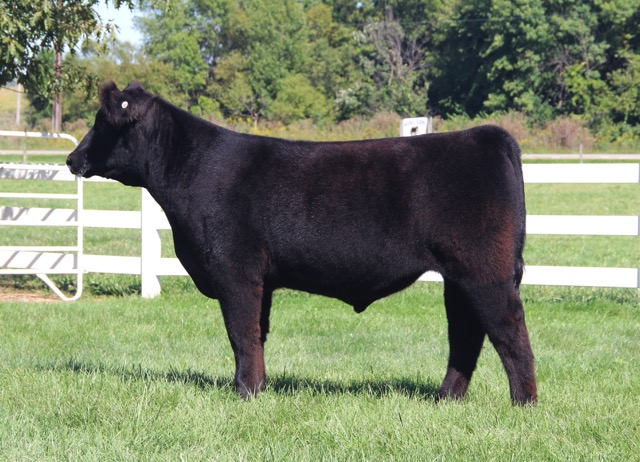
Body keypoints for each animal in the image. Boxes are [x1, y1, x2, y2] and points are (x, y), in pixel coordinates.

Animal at [67, 81, 537, 405]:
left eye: (102, 122)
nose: (72, 158)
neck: (191, 171)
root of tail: (486, 135)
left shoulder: (234, 271)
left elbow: (241, 333)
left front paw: (246, 393)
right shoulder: (260, 280)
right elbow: (256, 334)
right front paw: (256, 387)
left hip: (485, 272)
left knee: (509, 331)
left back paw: (524, 404)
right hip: (459, 278)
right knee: (466, 335)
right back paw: (446, 399)